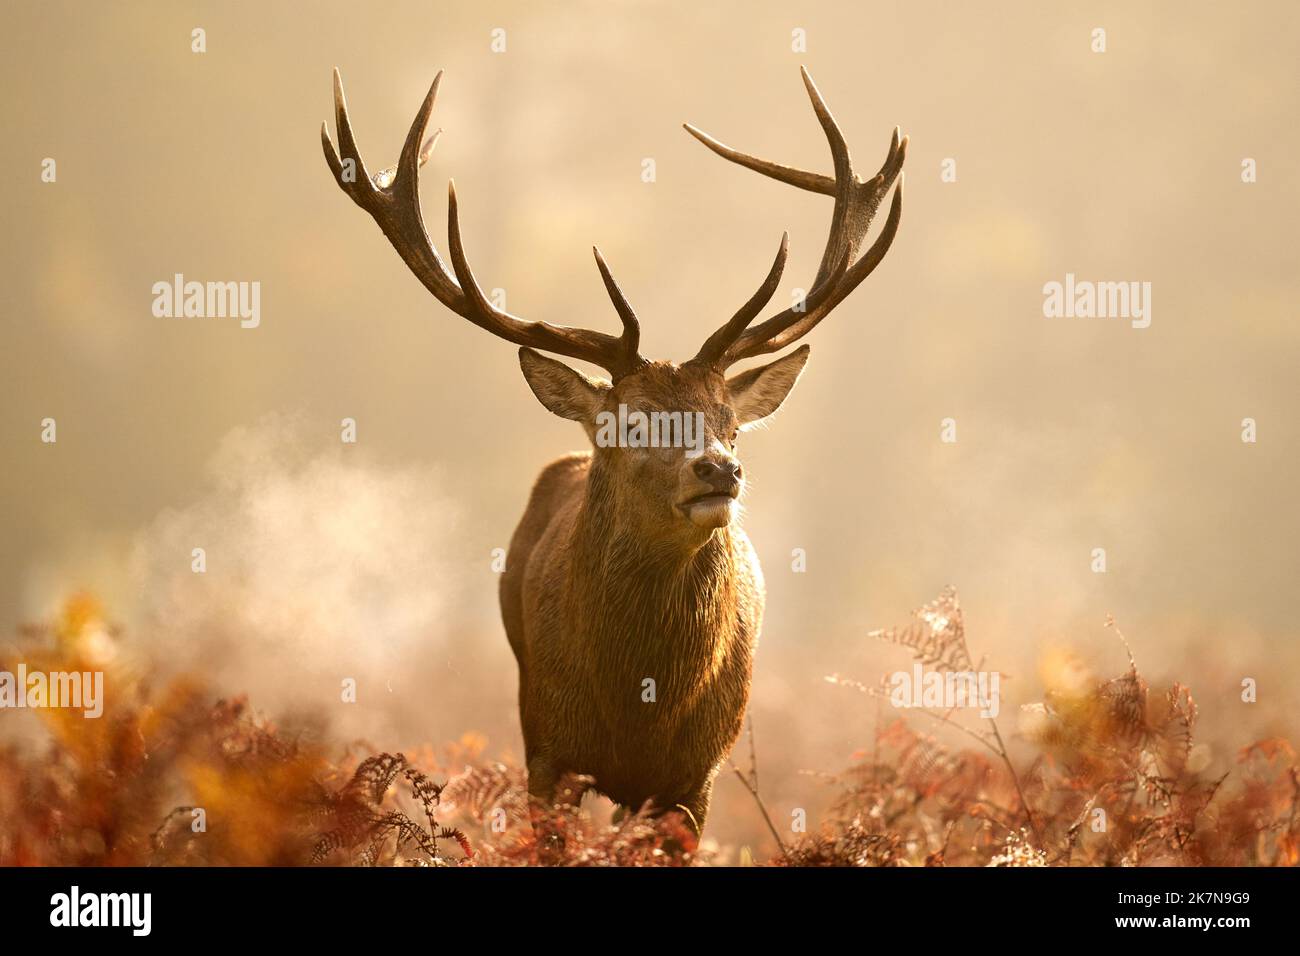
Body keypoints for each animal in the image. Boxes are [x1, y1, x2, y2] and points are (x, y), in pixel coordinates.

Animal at [321, 66, 905, 838]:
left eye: (732, 425)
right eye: (630, 425)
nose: (721, 468)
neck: (640, 709)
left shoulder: (696, 776)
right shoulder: (550, 750)